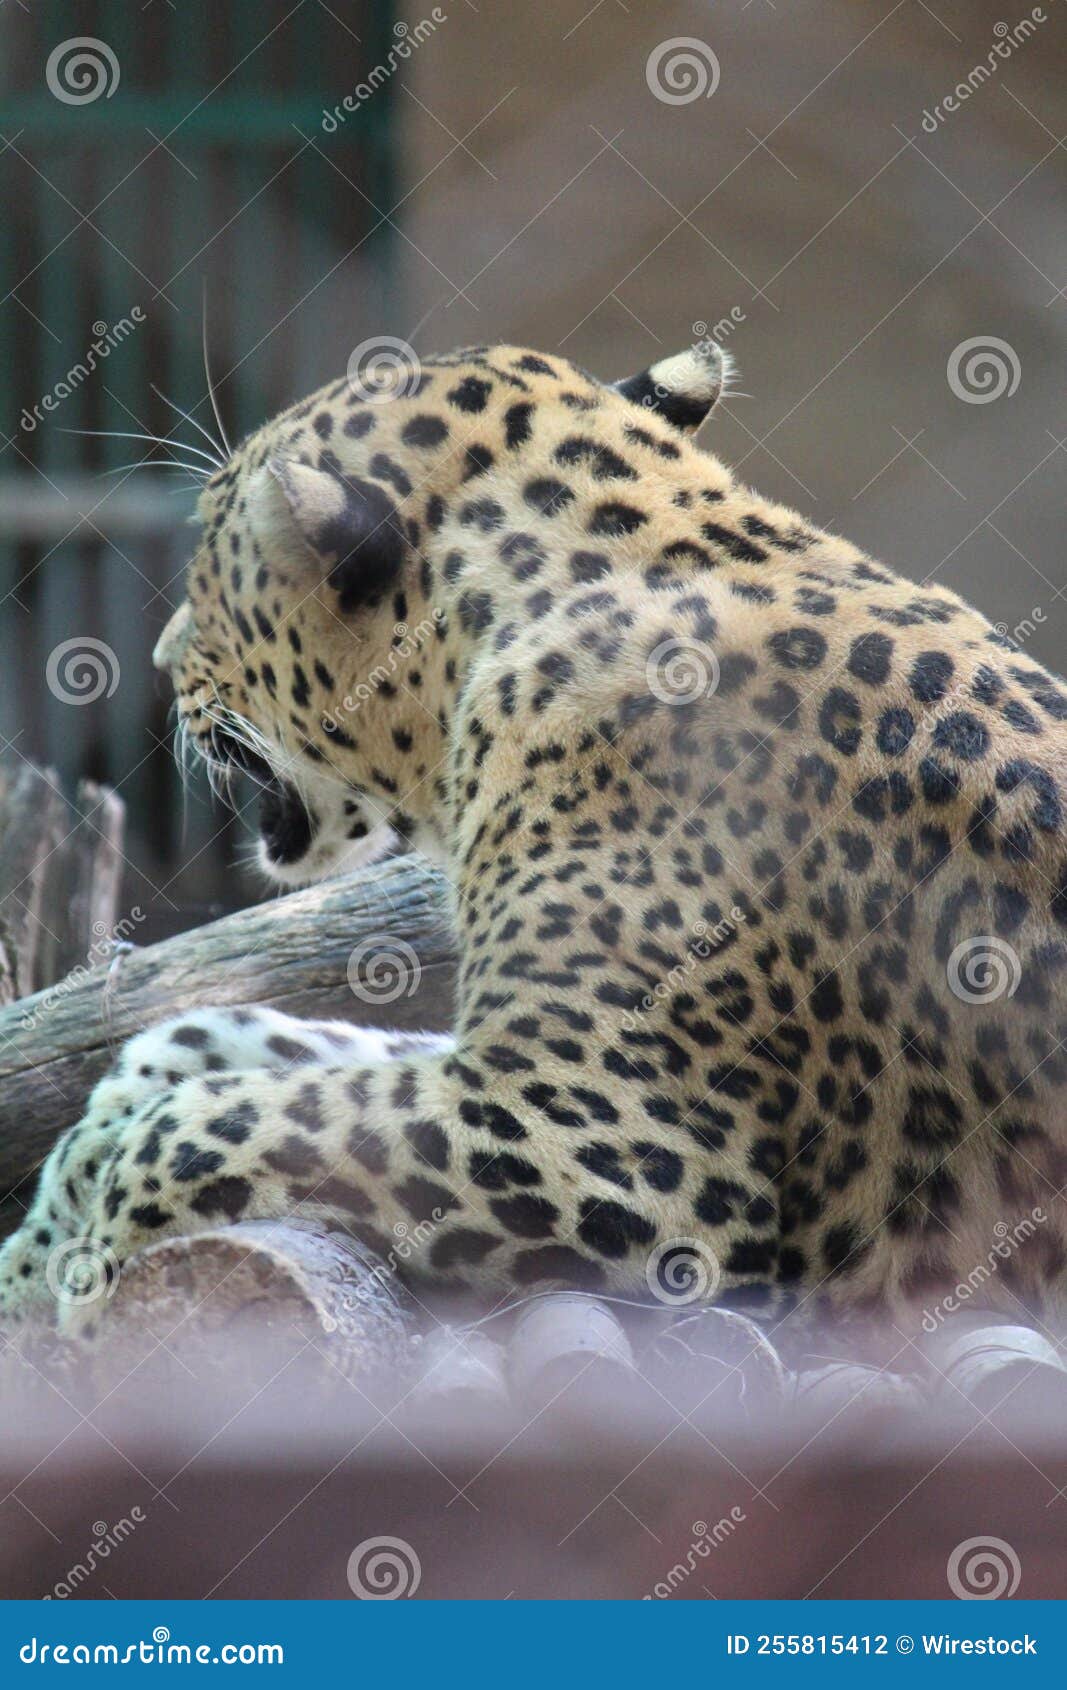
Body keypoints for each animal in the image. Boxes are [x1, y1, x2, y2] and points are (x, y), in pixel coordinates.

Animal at [4, 336, 1067, 1343]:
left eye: (213, 571)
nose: (155, 658)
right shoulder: (497, 1057)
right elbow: (235, 1050)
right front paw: (37, 1250)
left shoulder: (623, 1142)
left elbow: (225, 1124)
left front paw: (89, 1292)